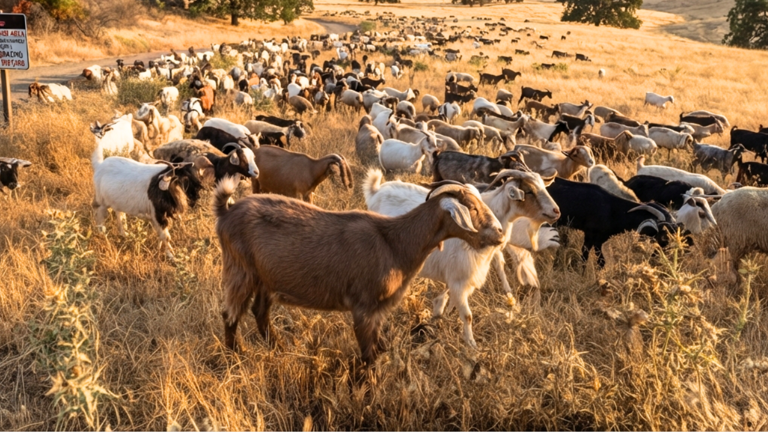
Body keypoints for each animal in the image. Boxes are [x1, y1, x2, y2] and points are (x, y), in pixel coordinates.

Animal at [90, 125, 209, 259]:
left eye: (196, 176)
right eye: (184, 179)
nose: (196, 197)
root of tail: (99, 165)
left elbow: (161, 235)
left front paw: (160, 250)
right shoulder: (158, 215)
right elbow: (166, 237)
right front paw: (172, 256)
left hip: (116, 203)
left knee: (120, 216)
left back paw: (125, 234)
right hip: (100, 201)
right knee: (98, 214)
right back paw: (102, 234)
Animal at [213, 175, 505, 363]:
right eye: (473, 207)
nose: (500, 233)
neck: (396, 242)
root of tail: (226, 212)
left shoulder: (379, 310)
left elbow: (377, 350)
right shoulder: (364, 307)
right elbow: (368, 355)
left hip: (265, 278)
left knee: (260, 312)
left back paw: (279, 348)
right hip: (241, 270)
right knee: (230, 313)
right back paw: (235, 355)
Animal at [365, 169, 559, 348]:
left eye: (544, 186)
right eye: (529, 191)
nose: (556, 211)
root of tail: (377, 190)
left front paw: (440, 315)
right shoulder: (460, 273)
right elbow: (467, 313)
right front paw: (471, 345)